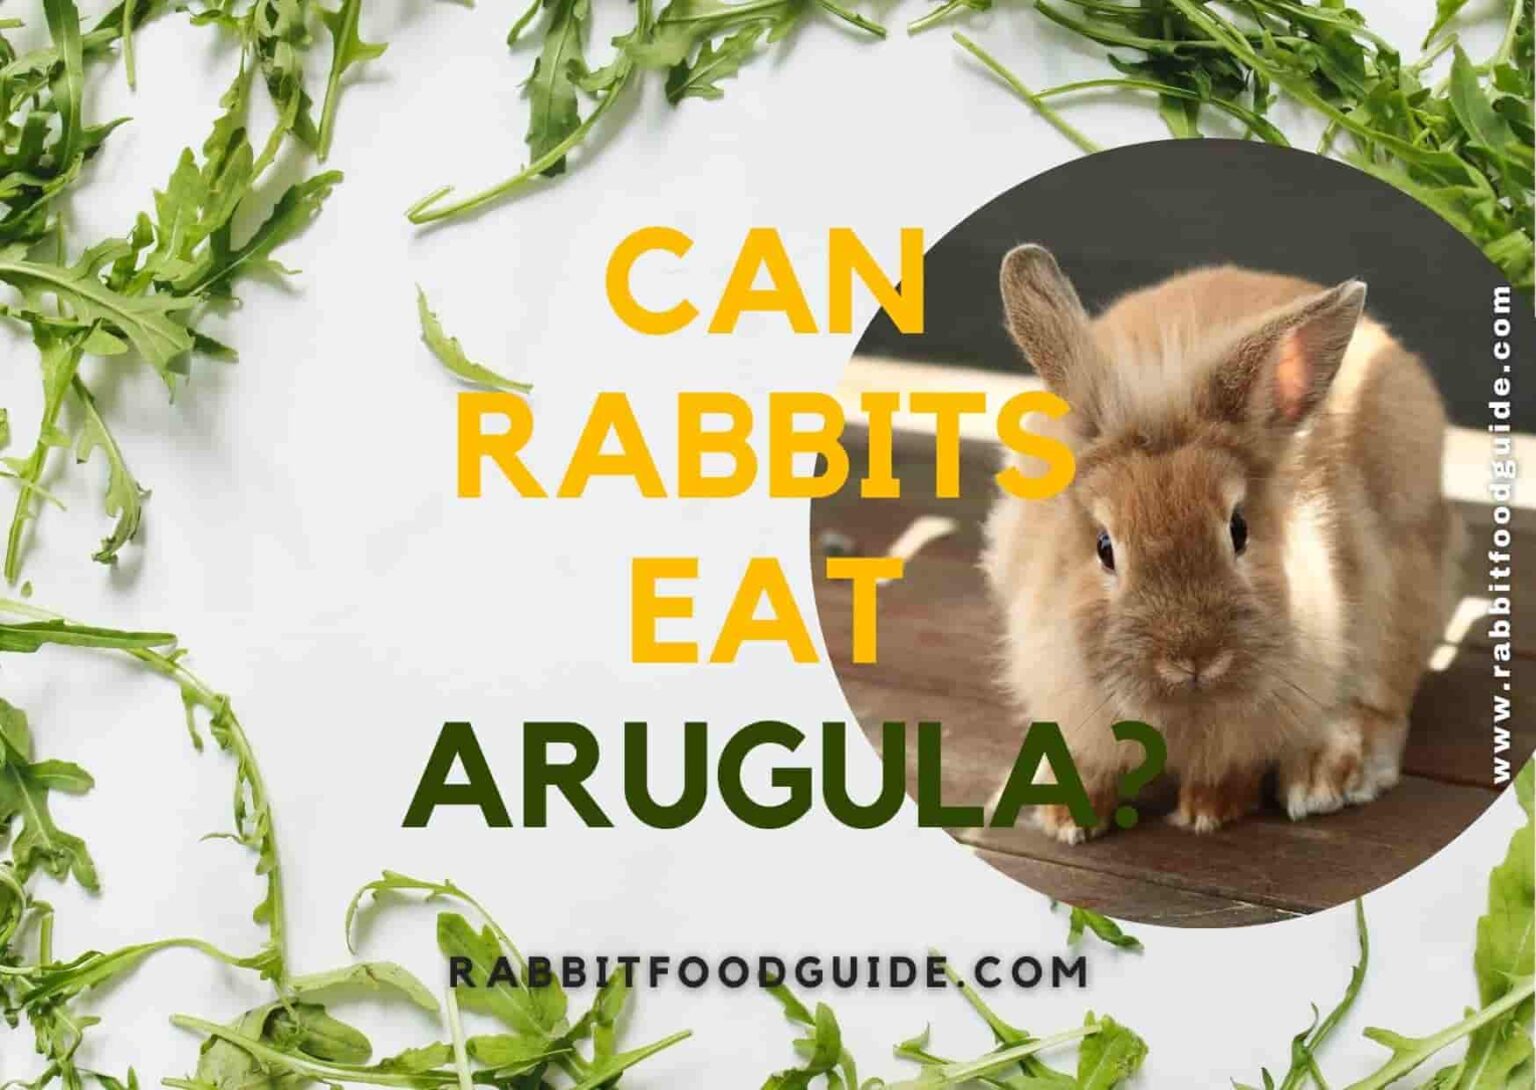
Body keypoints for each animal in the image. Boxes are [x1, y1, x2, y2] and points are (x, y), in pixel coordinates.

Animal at [981, 245, 1462, 842]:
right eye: (1104, 547)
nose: (1193, 659)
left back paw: (1325, 778)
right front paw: (1064, 817)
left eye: (1238, 529)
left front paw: (1207, 811)